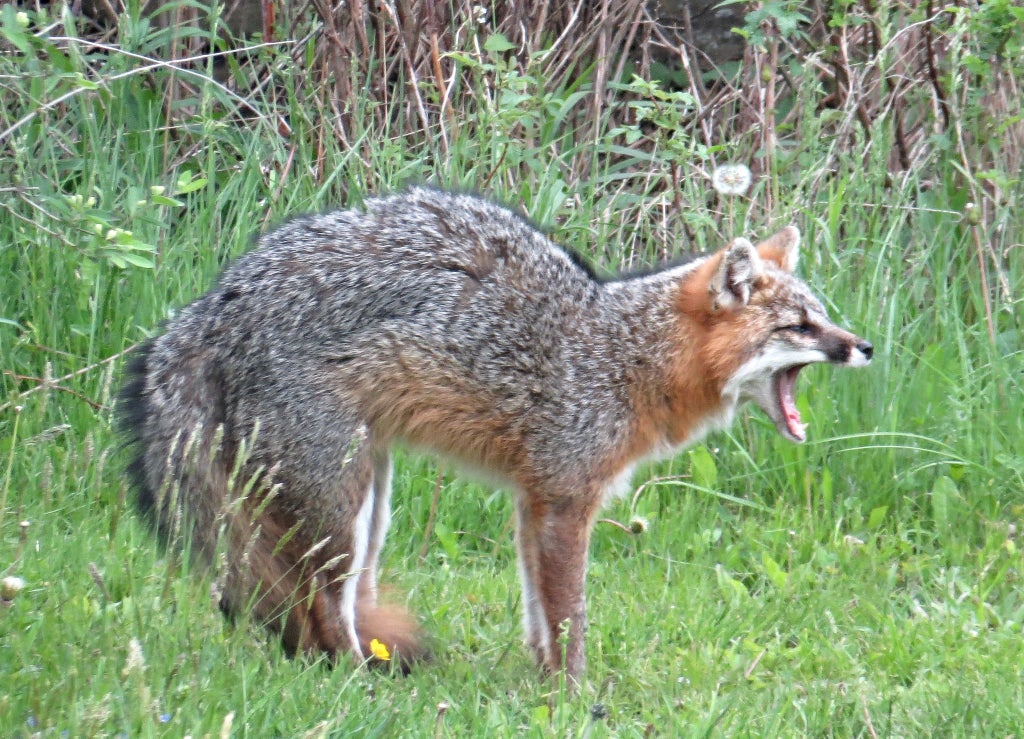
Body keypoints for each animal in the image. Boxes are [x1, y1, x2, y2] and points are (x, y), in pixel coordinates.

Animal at [118, 187, 872, 682]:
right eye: (799, 327)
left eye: (823, 316)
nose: (863, 347)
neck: (623, 354)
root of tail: (213, 303)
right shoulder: (566, 503)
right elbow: (570, 615)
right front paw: (575, 696)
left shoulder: (532, 502)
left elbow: (539, 614)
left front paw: (543, 684)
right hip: (340, 507)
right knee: (325, 610)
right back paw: (359, 684)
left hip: (370, 511)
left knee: (324, 608)